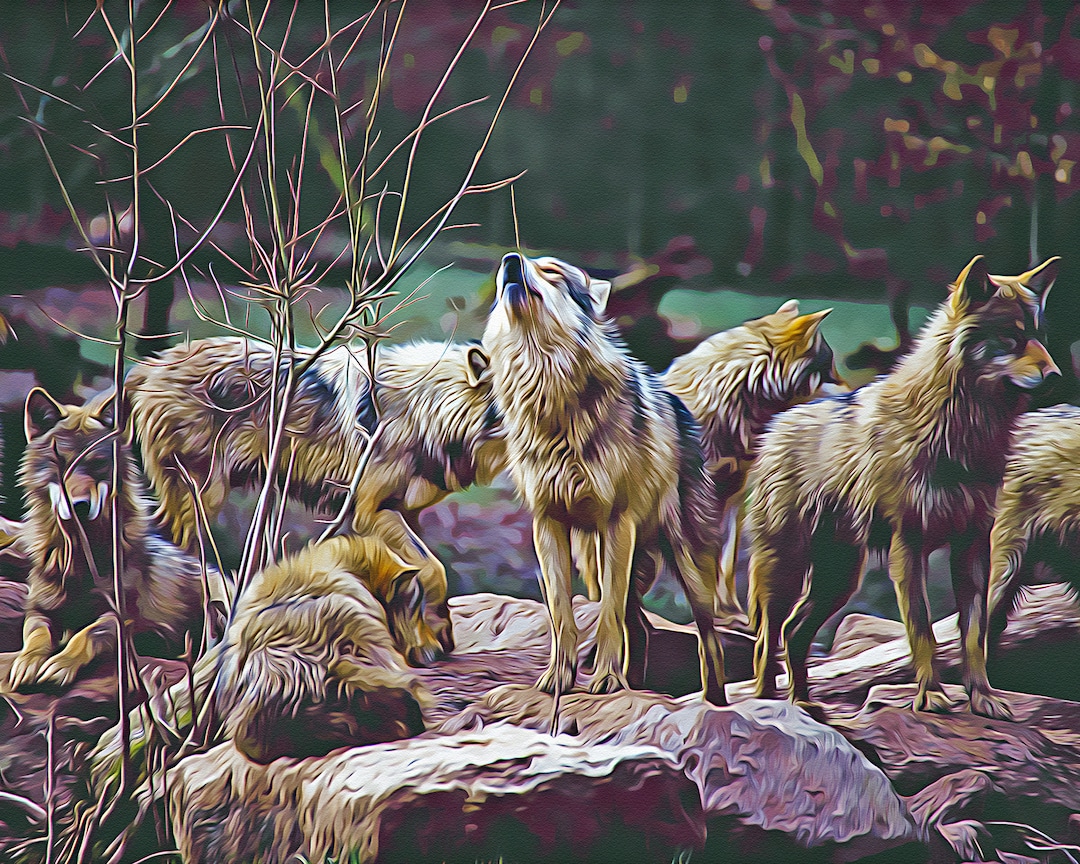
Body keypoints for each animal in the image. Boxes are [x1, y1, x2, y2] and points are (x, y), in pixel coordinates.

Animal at [6, 387, 225, 692]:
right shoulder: (39, 609)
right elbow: (36, 634)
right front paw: (28, 662)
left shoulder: (125, 617)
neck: (82, 558)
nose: (79, 506)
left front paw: (60, 664)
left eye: (98, 464)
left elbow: (90, 631)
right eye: (60, 463)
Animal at [127, 336, 504, 662]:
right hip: (202, 499)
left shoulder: (404, 514)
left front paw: (432, 637)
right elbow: (433, 570)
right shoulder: (372, 511)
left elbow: (418, 577)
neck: (428, 410)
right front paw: (431, 642)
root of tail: (150, 364)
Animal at [484, 251, 726, 704]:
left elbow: (606, 616)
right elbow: (562, 613)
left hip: (685, 564)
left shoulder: (618, 523)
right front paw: (559, 678)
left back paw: (714, 703)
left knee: (709, 639)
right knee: (640, 628)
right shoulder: (547, 524)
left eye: (552, 272)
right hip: (599, 561)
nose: (509, 259)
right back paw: (634, 684)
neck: (548, 389)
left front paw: (607, 682)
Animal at [746, 256, 1059, 713]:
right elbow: (922, 630)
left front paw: (983, 698)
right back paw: (770, 703)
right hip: (786, 569)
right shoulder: (907, 545)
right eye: (1011, 338)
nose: (1055, 375)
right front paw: (931, 696)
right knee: (767, 639)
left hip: (839, 578)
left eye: (1040, 337)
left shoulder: (974, 545)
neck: (962, 432)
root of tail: (781, 419)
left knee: (793, 630)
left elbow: (974, 634)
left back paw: (802, 703)